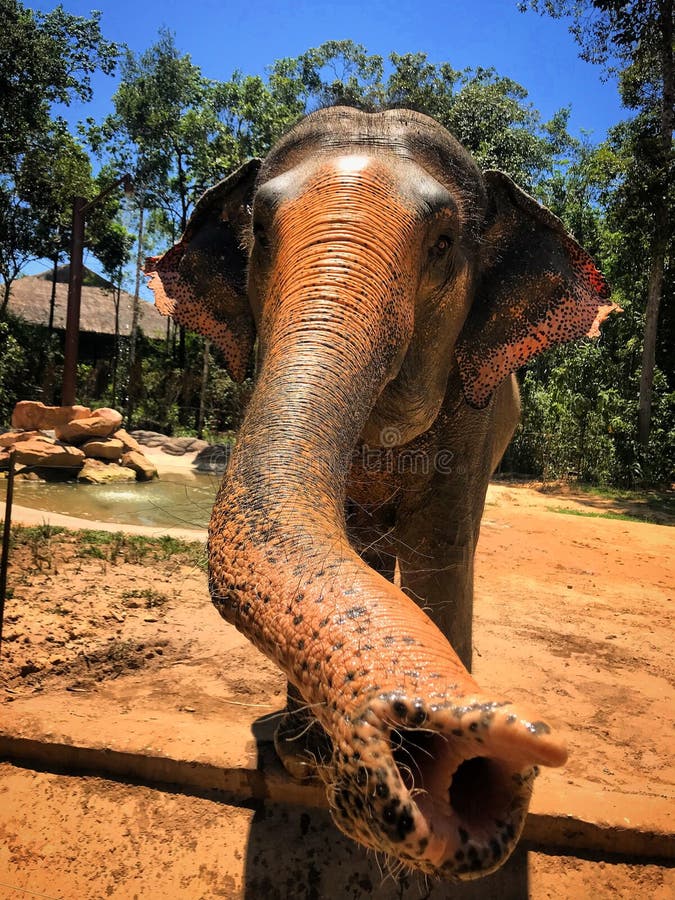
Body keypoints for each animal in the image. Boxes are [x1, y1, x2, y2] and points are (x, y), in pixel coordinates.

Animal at [146, 106, 616, 880]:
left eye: (444, 243)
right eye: (261, 233)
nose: (416, 737)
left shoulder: (474, 413)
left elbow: (440, 544)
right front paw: (305, 760)